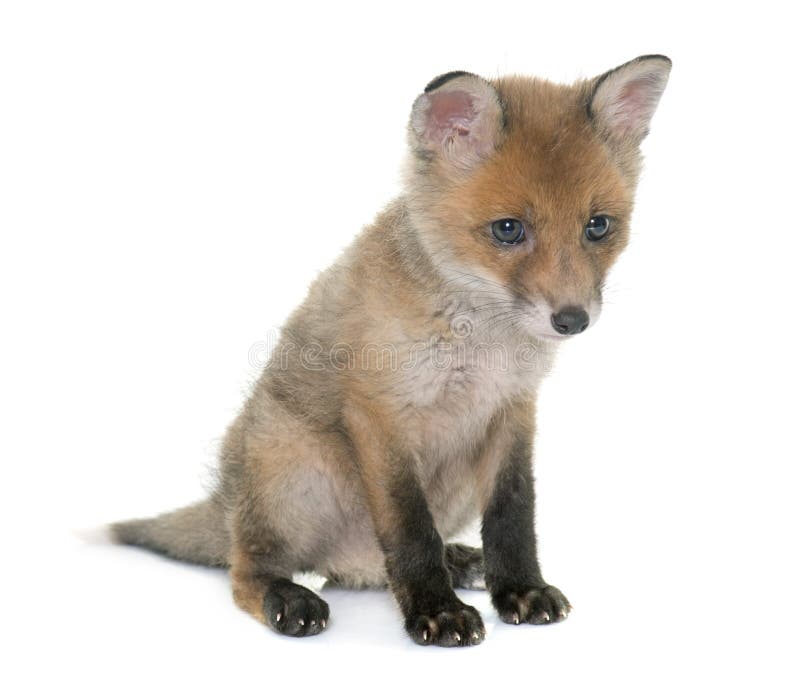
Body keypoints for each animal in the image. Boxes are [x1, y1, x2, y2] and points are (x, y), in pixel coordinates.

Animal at [113, 55, 671, 647]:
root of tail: (227, 500)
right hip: (295, 472)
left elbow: (513, 515)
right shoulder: (381, 415)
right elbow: (409, 531)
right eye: (508, 229)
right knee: (246, 569)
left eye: (598, 226)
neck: (479, 347)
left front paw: (521, 589)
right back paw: (286, 595)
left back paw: (458, 561)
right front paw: (436, 611)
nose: (572, 320)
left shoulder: (512, 410)